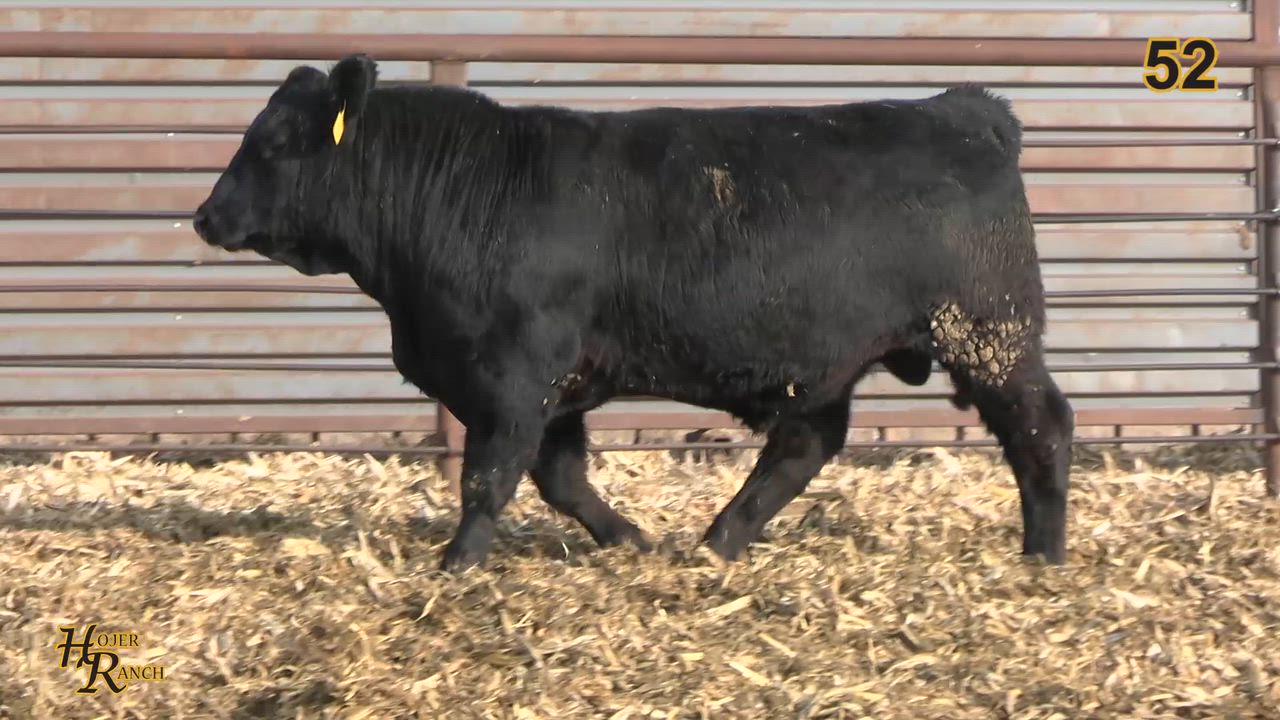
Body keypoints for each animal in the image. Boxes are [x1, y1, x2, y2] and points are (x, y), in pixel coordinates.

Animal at [193, 54, 1074, 572]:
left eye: (274, 144)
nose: (206, 215)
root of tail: (964, 109)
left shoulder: (515, 375)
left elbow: (488, 478)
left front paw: (457, 566)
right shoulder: (549, 387)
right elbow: (559, 478)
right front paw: (630, 539)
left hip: (990, 334)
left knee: (1042, 425)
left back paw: (1044, 552)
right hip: (833, 363)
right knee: (803, 446)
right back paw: (717, 542)